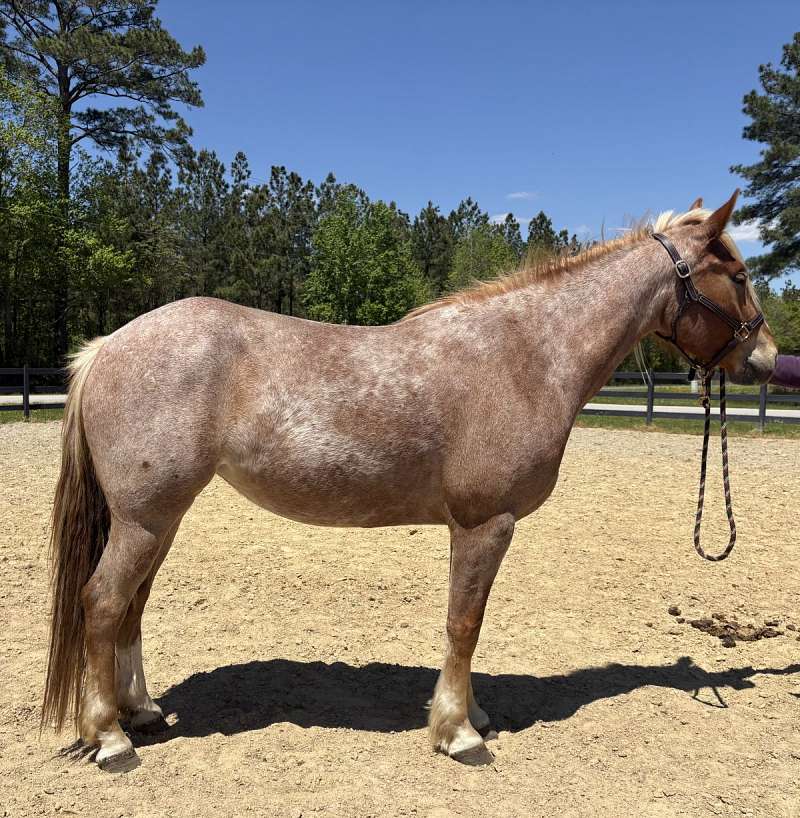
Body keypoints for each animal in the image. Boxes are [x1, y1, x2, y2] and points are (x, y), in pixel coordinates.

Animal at [42, 191, 776, 772]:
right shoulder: (485, 524)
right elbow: (464, 623)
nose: (769, 359)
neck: (526, 356)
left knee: (131, 608)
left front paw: (470, 716)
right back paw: (110, 739)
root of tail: (107, 346)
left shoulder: (473, 527)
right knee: (103, 603)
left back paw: (141, 713)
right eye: (738, 274)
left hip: (160, 519)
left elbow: (464, 624)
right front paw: (458, 734)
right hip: (145, 519)